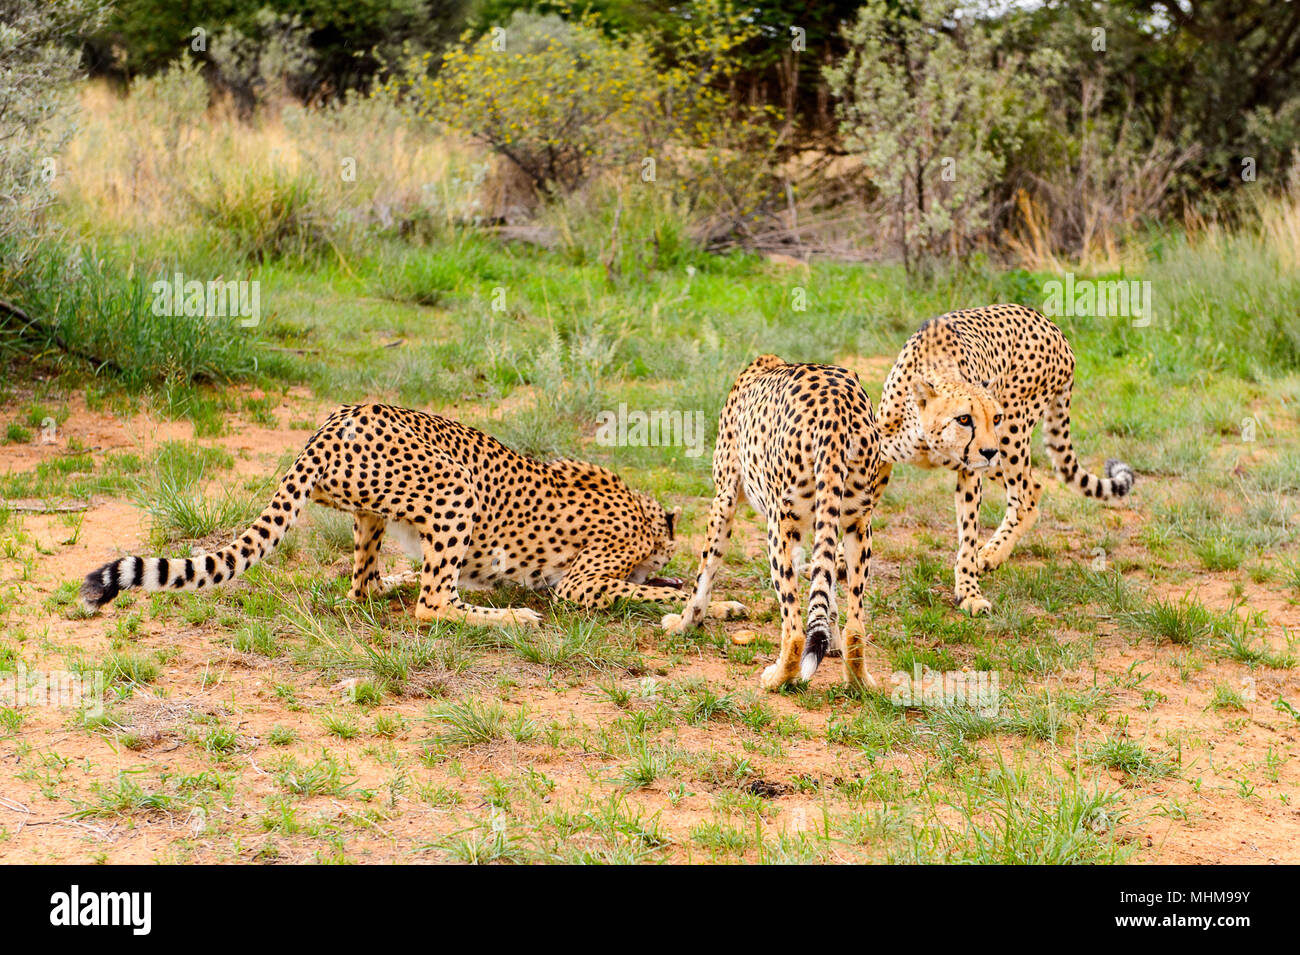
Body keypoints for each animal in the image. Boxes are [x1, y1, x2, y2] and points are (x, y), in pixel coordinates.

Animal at [80, 403, 745, 625]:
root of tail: (333, 422)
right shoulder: (579, 586)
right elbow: (644, 593)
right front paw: (718, 606)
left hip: (371, 514)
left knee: (363, 587)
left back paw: (396, 581)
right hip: (455, 487)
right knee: (432, 605)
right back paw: (506, 617)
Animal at [661, 355, 887, 690]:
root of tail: (836, 406)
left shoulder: (724, 499)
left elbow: (704, 574)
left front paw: (683, 623)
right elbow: (826, 590)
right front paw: (831, 641)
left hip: (779, 525)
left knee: (794, 630)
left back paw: (777, 678)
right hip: (857, 522)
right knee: (855, 627)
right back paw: (860, 682)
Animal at [875, 304, 1135, 615]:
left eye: (994, 418)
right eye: (964, 419)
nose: (988, 451)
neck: (928, 442)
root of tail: (1049, 323)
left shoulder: (971, 473)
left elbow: (968, 536)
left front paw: (969, 593)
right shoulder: (878, 456)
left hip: (1012, 435)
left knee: (1024, 494)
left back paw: (992, 552)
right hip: (1001, 455)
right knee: (1033, 488)